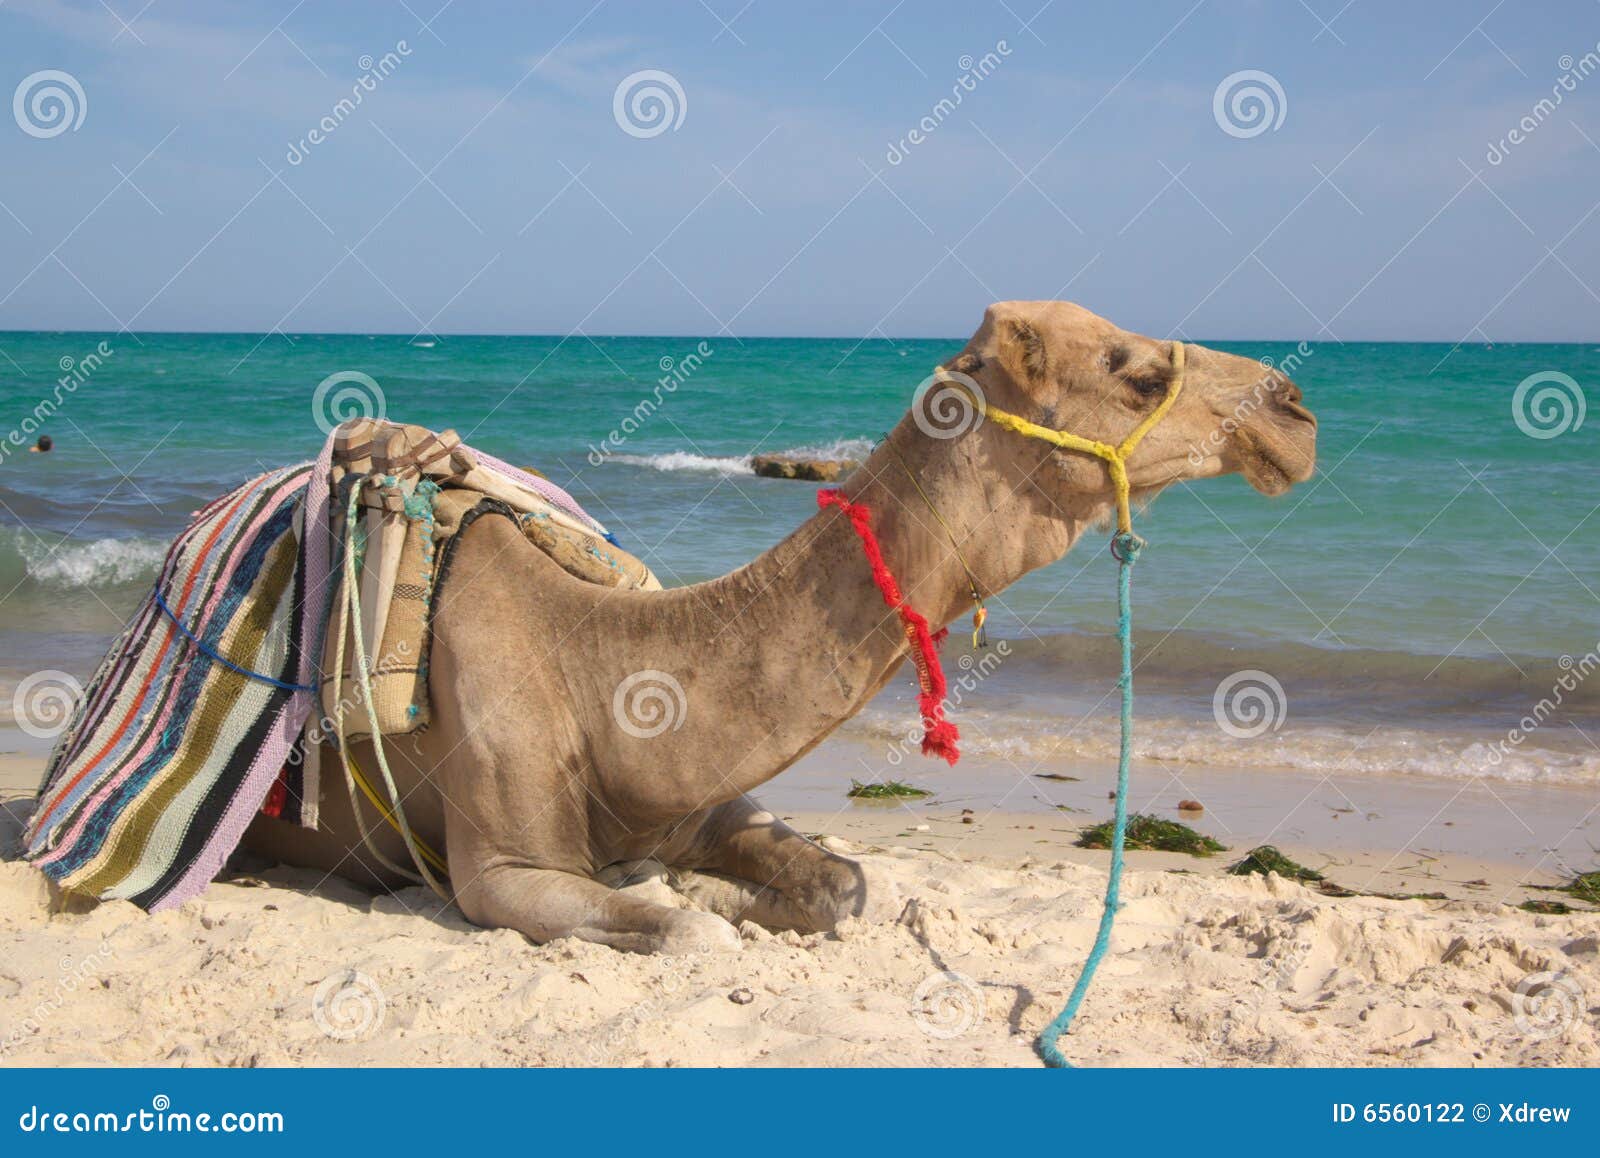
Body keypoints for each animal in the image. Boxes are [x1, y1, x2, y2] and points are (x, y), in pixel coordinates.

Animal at [244, 301, 1318, 953]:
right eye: (1133, 371)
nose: (1294, 409)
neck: (597, 662)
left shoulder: (689, 793)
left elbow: (843, 883)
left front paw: (712, 889)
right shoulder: (501, 870)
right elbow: (684, 933)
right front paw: (694, 903)